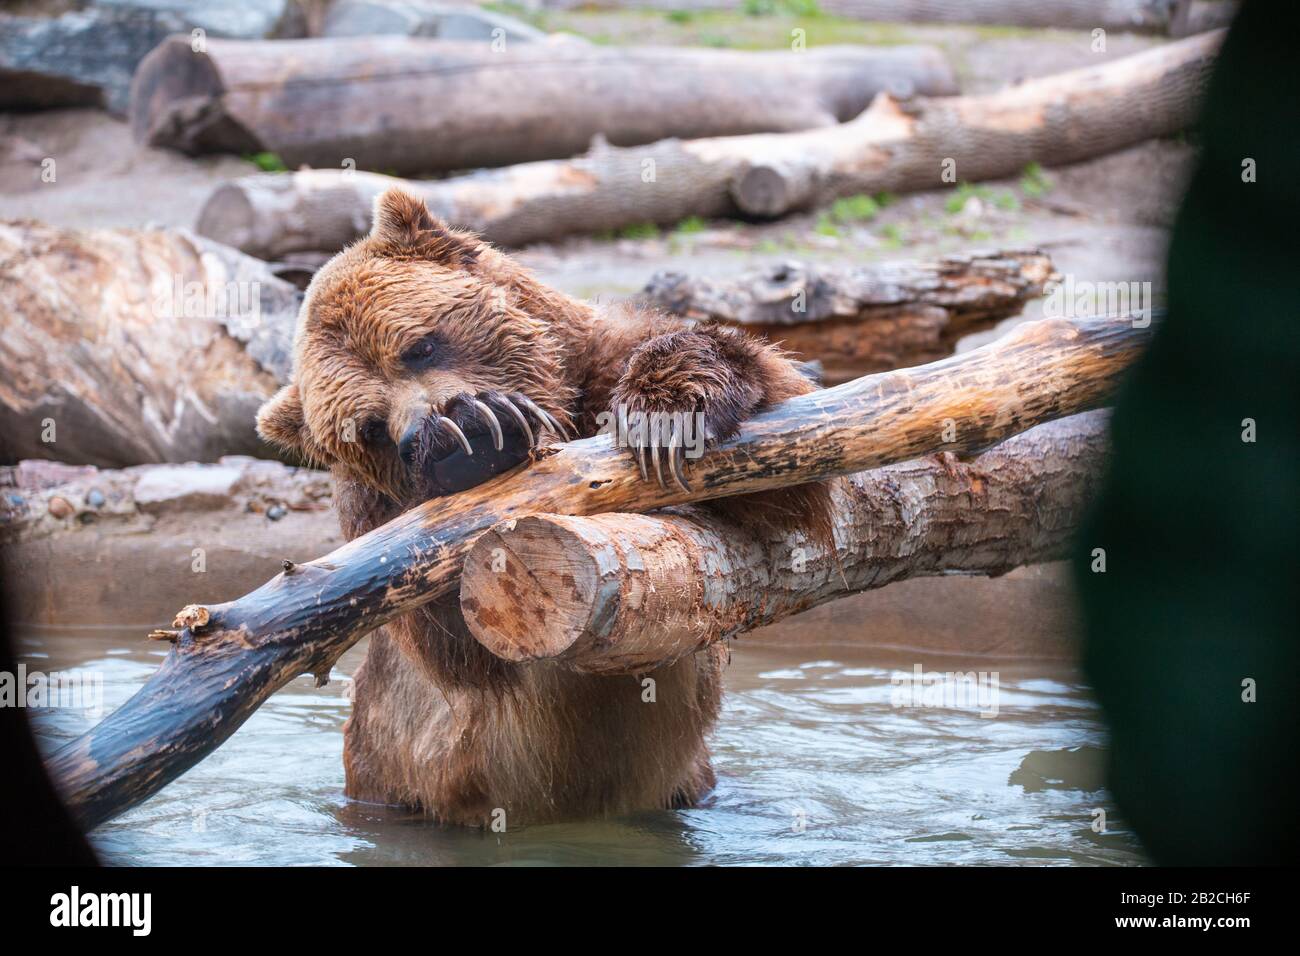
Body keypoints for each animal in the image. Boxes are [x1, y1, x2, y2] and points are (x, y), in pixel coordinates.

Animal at [255, 188, 829, 826]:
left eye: (419, 346)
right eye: (371, 429)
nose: (430, 423)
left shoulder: (594, 368)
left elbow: (783, 486)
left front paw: (672, 407)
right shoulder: (374, 518)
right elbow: (459, 643)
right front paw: (475, 435)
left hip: (690, 783)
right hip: (391, 782)